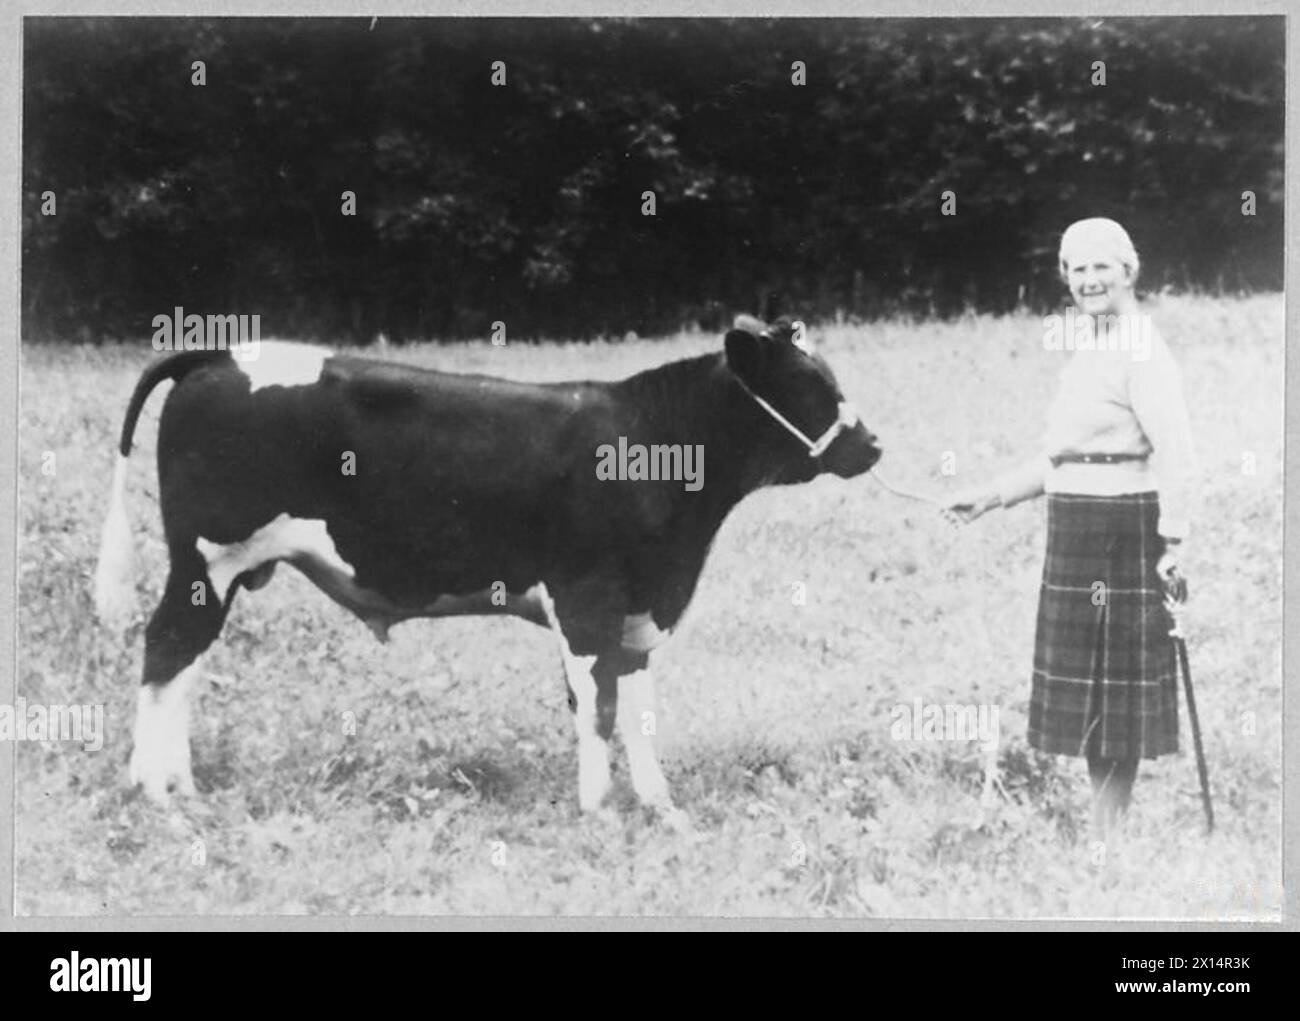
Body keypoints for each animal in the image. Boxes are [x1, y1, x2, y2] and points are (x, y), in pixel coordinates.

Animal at [92, 316, 881, 827]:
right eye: (808, 386)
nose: (872, 444)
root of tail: (219, 354)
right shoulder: (587, 598)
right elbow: (597, 709)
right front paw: (598, 812)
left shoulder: (638, 607)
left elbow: (638, 713)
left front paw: (661, 808)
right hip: (205, 559)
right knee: (165, 650)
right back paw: (154, 791)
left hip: (219, 572)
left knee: (185, 662)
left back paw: (180, 783)